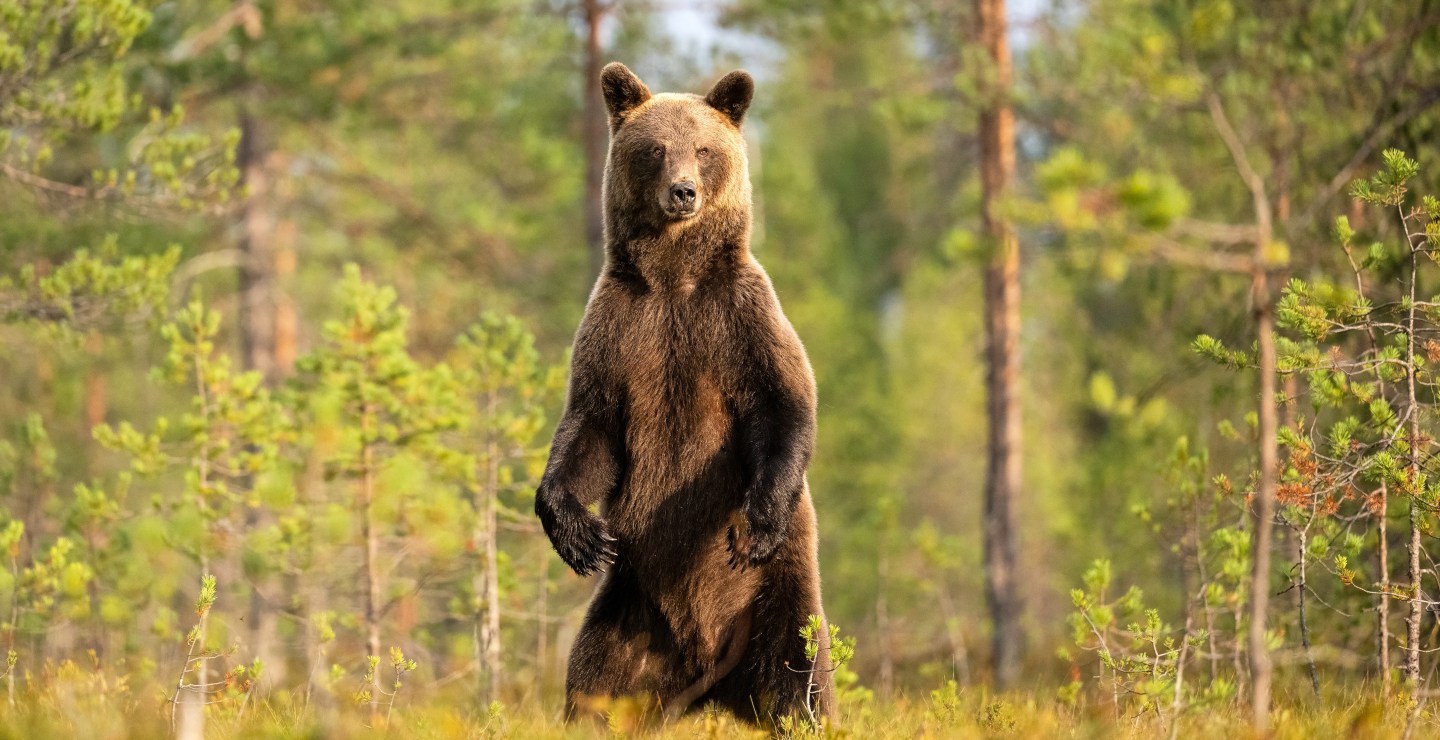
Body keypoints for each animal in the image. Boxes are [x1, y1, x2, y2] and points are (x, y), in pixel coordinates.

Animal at [534, 62, 835, 726]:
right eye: (654, 149)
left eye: (703, 148)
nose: (683, 192)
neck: (674, 279)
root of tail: (709, 677)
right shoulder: (620, 330)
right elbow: (591, 429)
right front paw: (578, 534)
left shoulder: (737, 319)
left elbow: (783, 404)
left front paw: (757, 522)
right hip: (628, 612)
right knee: (593, 683)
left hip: (779, 596)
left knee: (797, 676)